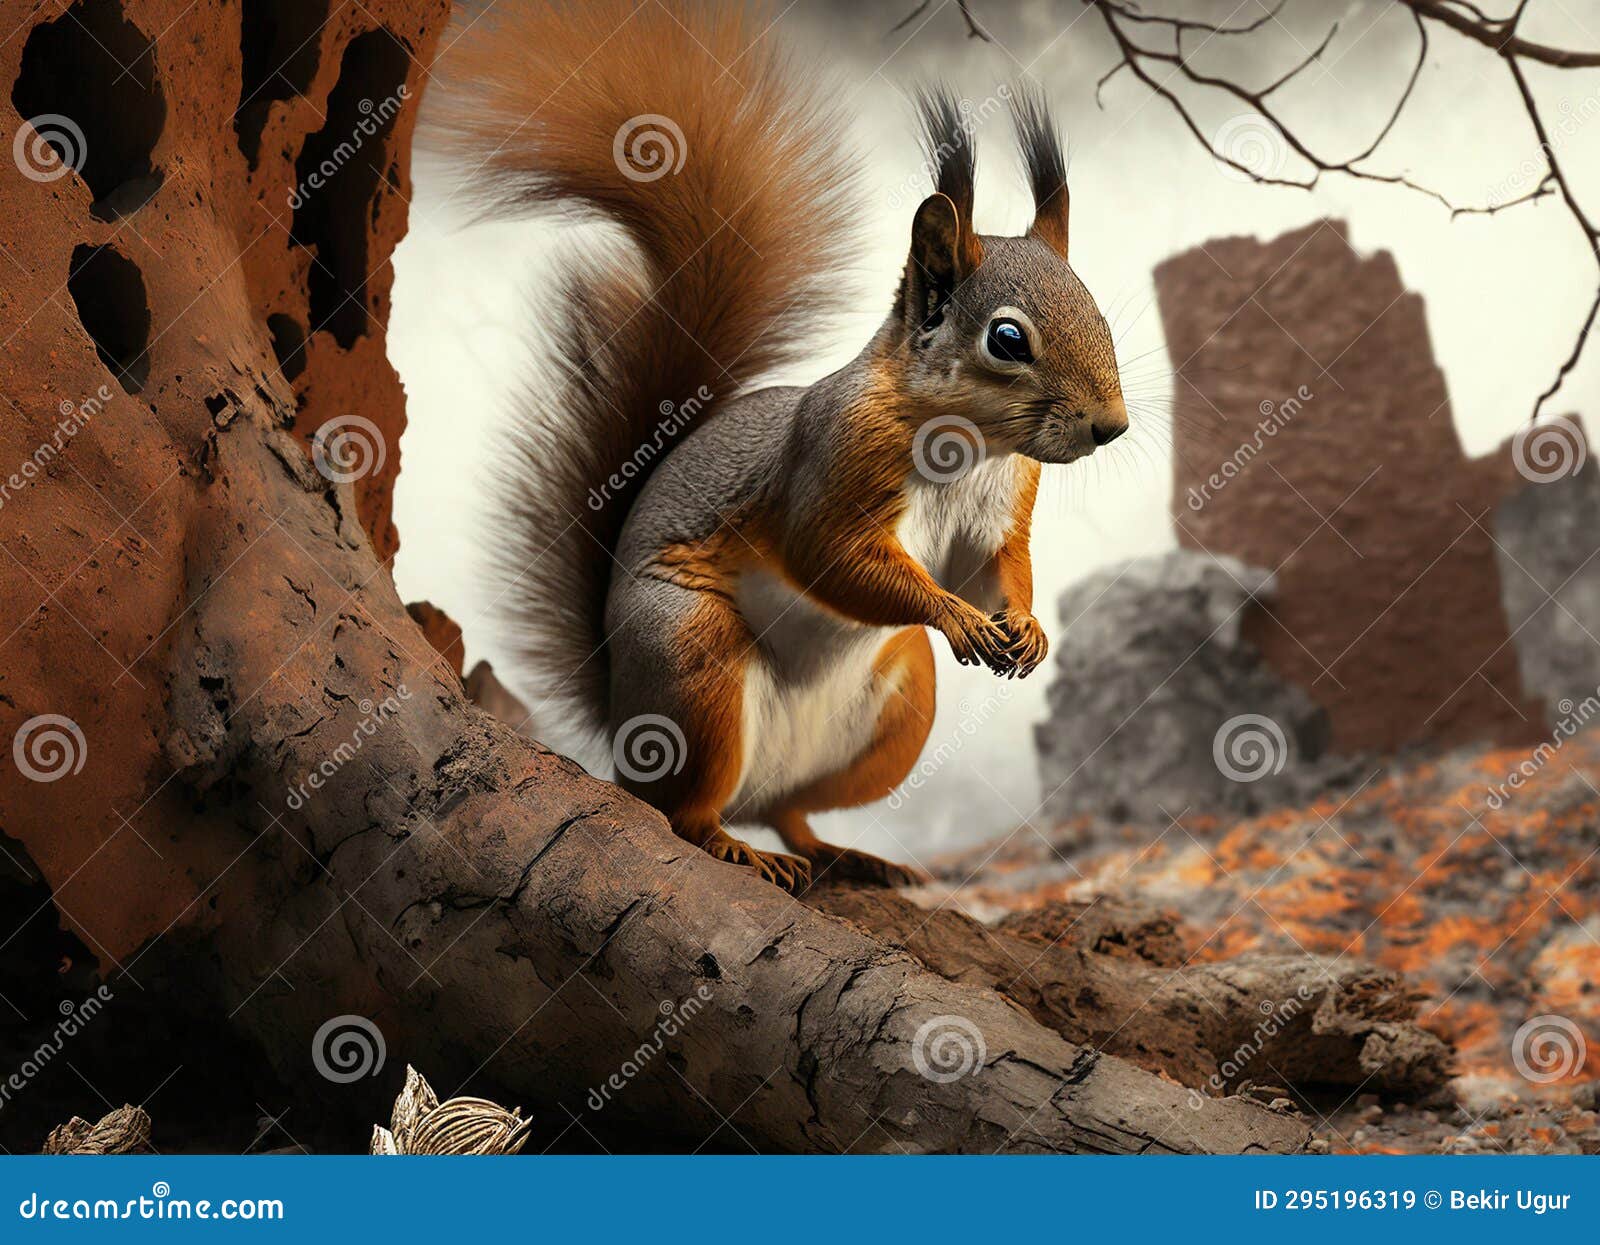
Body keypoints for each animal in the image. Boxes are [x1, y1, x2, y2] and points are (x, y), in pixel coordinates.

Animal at [428, 0, 1127, 894]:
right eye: (1008, 339)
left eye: (1100, 312)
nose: (1112, 424)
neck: (971, 445)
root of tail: (618, 721)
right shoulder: (831, 465)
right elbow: (830, 556)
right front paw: (954, 615)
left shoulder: (1003, 508)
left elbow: (996, 568)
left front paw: (1028, 628)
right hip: (693, 661)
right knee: (687, 811)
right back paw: (734, 845)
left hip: (902, 704)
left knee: (793, 811)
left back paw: (847, 853)